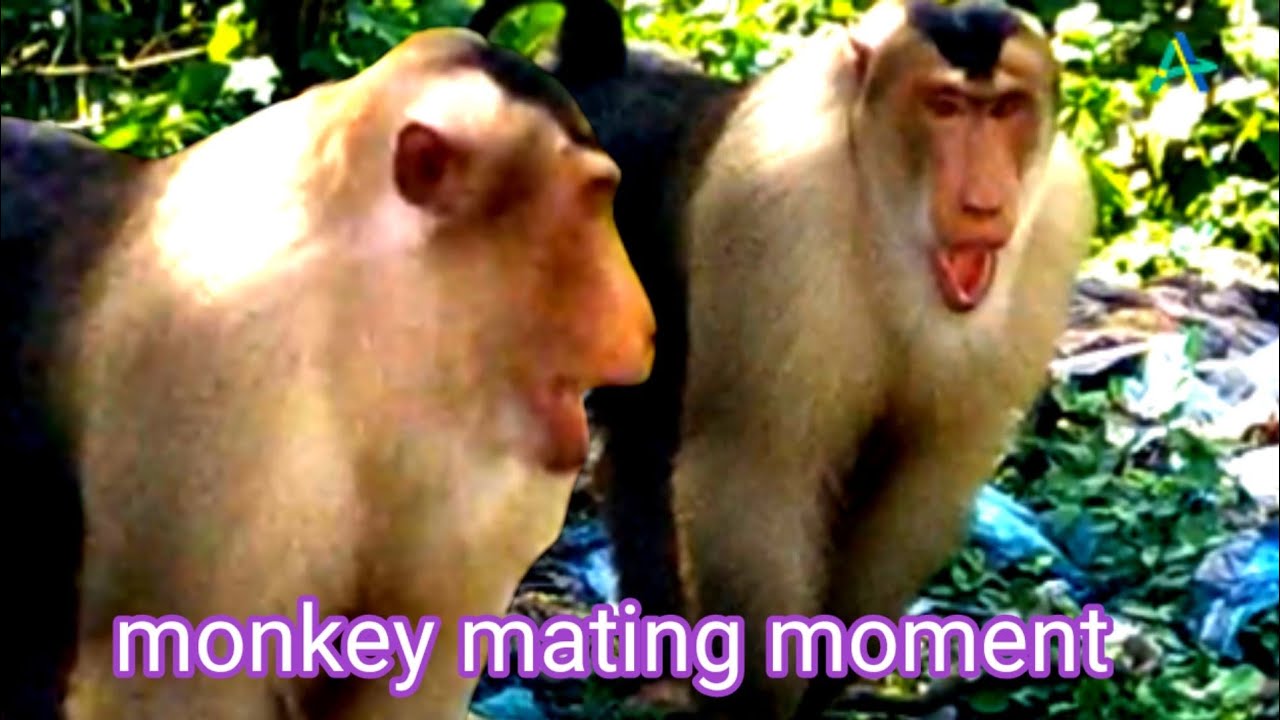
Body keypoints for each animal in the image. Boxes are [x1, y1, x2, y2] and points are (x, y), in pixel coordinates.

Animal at [472, 1, 1096, 717]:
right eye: (945, 106)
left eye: (1005, 109)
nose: (985, 202)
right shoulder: (778, 200)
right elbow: (759, 474)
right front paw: (761, 701)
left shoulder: (1054, 226)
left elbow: (919, 483)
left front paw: (831, 674)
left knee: (643, 443)